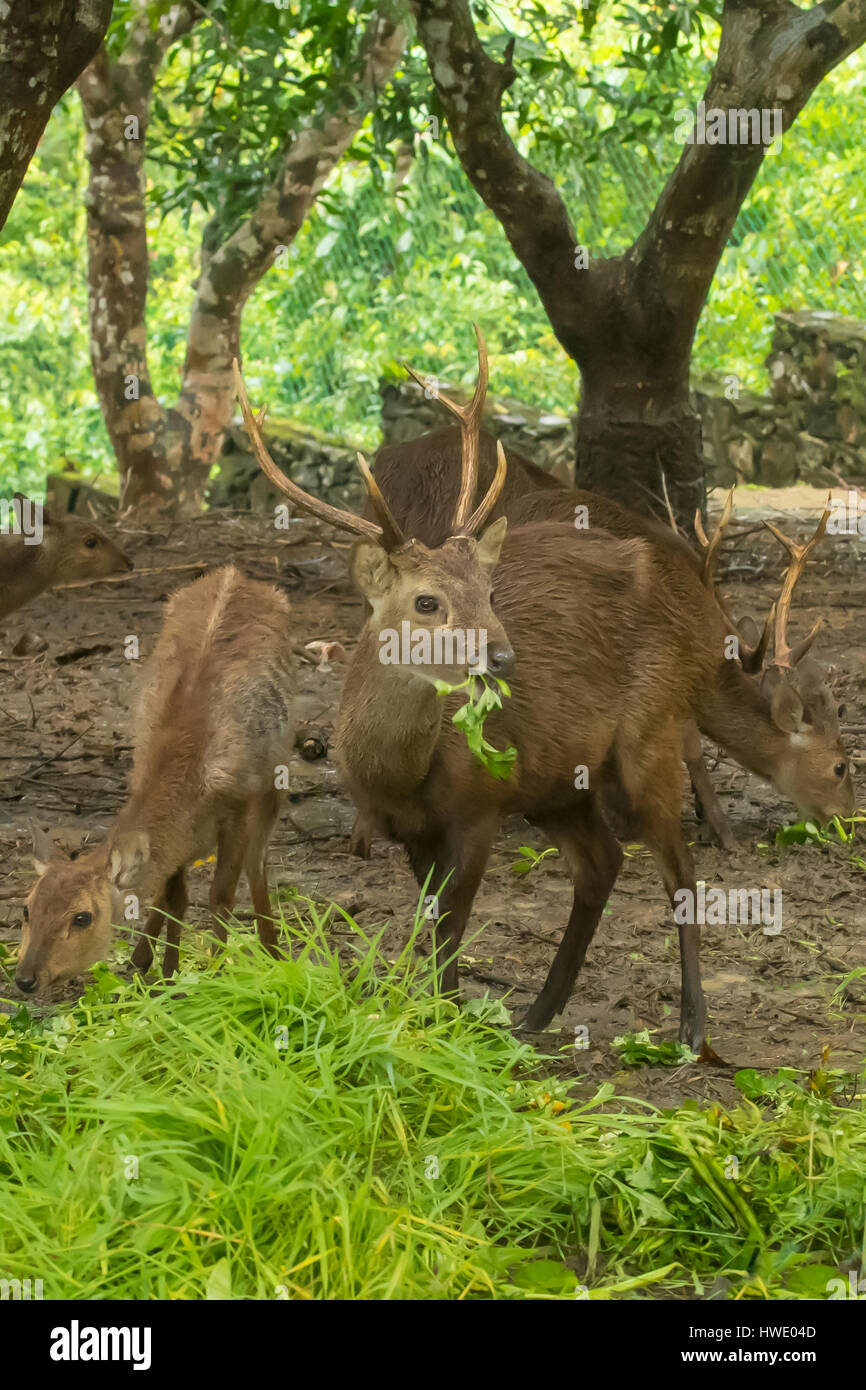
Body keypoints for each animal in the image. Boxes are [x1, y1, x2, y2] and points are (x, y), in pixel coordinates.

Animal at [15, 566, 295, 996]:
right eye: (27, 908)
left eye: (82, 917)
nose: (25, 978)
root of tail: (234, 571)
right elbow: (174, 896)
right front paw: (162, 970)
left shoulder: (239, 802)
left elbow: (221, 895)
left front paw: (216, 975)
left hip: (275, 778)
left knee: (258, 863)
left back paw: (273, 951)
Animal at [232, 355, 855, 1057]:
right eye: (426, 601)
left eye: (487, 591)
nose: (502, 657)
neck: (397, 770)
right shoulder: (415, 828)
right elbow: (433, 923)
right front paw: (442, 1019)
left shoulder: (478, 806)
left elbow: (452, 928)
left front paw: (448, 1027)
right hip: (557, 782)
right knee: (604, 862)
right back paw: (539, 1012)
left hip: (645, 733)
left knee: (680, 871)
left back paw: (692, 1028)